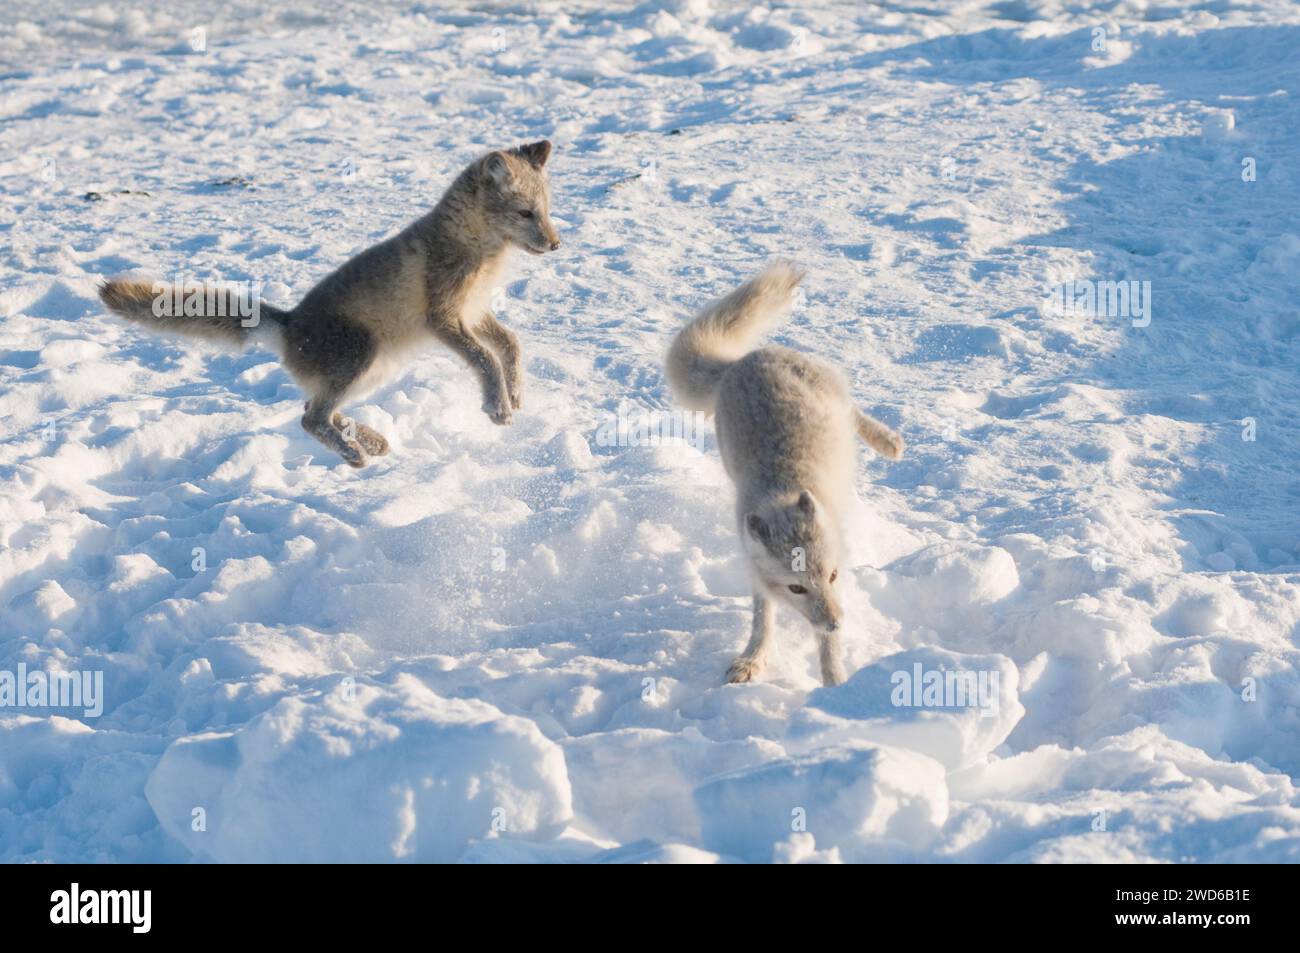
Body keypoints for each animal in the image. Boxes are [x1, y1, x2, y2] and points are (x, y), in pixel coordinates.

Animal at [97, 140, 561, 467]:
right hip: (361, 354)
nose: (557, 244)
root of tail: (287, 324)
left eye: (546, 210)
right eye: (525, 213)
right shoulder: (444, 318)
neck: (477, 249)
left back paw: (369, 442)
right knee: (311, 417)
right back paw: (356, 452)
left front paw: (515, 393)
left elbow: (509, 345)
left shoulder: (473, 313)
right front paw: (497, 407)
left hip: (374, 370)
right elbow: (485, 358)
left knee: (315, 409)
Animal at [666, 262, 904, 687]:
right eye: (796, 587)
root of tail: (744, 360)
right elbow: (763, 618)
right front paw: (752, 659)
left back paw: (889, 442)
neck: (783, 489)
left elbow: (826, 649)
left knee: (855, 412)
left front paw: (834, 686)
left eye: (832, 575)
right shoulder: (757, 569)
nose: (836, 622)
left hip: (835, 395)